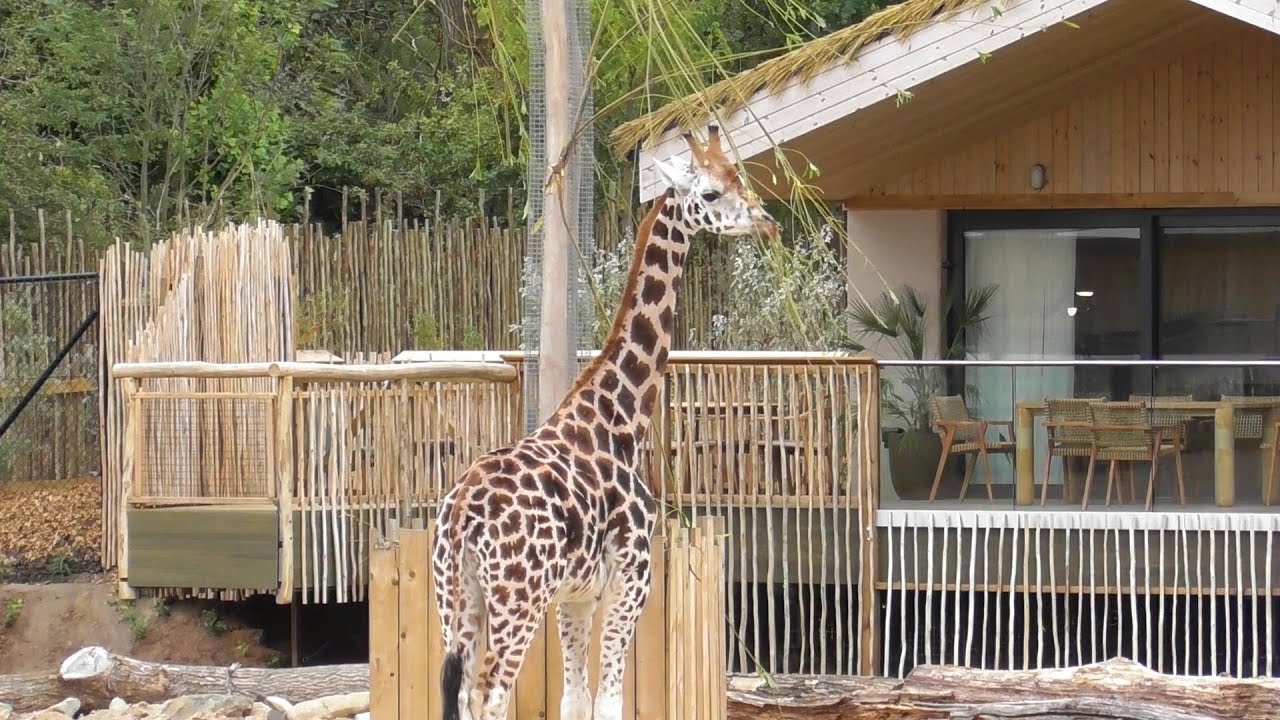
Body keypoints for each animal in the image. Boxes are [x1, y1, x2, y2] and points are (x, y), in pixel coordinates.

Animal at [431, 125, 778, 720]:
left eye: (740, 176)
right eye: (710, 192)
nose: (765, 219)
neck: (620, 423)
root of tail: (459, 518)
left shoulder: (576, 597)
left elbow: (575, 697)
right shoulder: (631, 580)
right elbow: (610, 699)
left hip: (456, 600)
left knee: (456, 693)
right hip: (516, 601)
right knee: (490, 696)